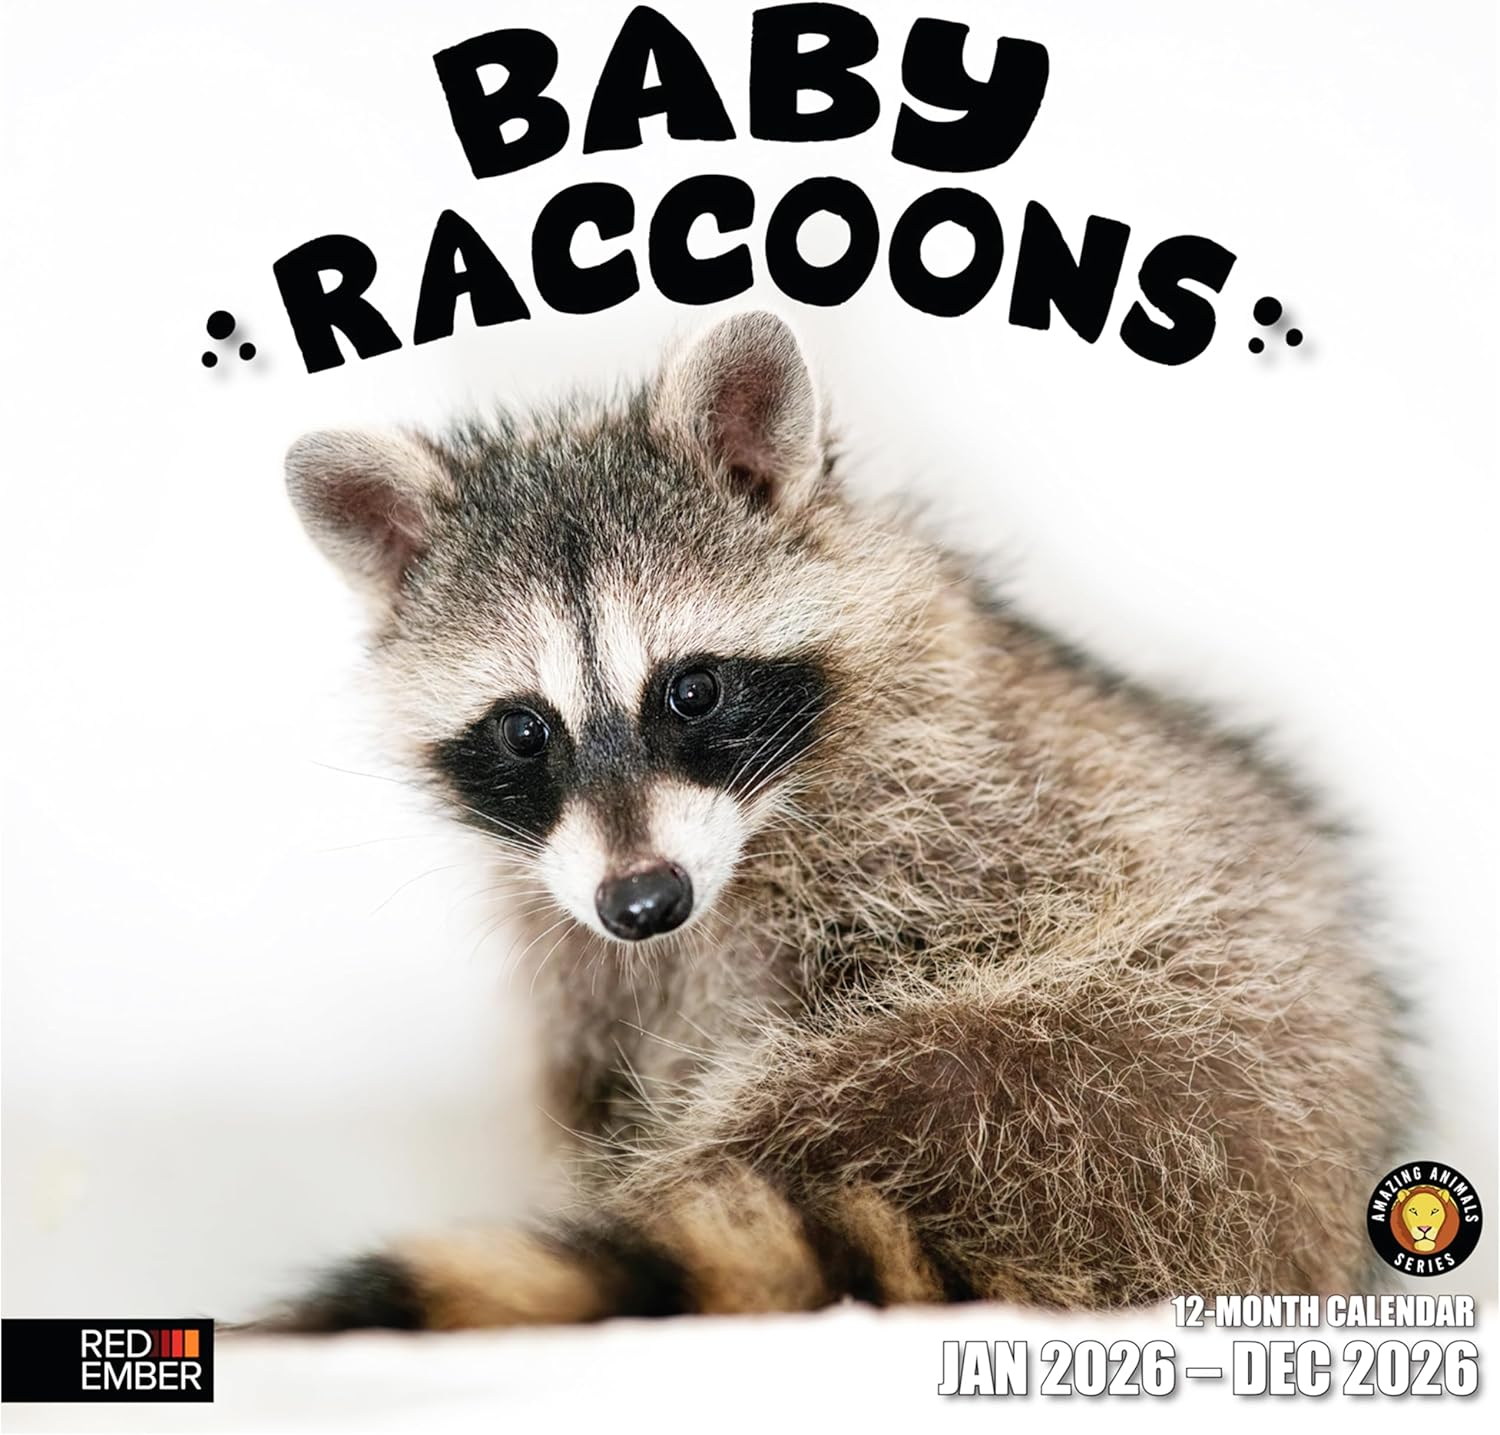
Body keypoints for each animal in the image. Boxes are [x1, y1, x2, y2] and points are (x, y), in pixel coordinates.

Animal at [275, 311, 1403, 1330]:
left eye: (692, 691)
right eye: (523, 730)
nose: (645, 902)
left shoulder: (957, 808)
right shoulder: (579, 940)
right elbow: (607, 1061)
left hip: (1116, 1058)